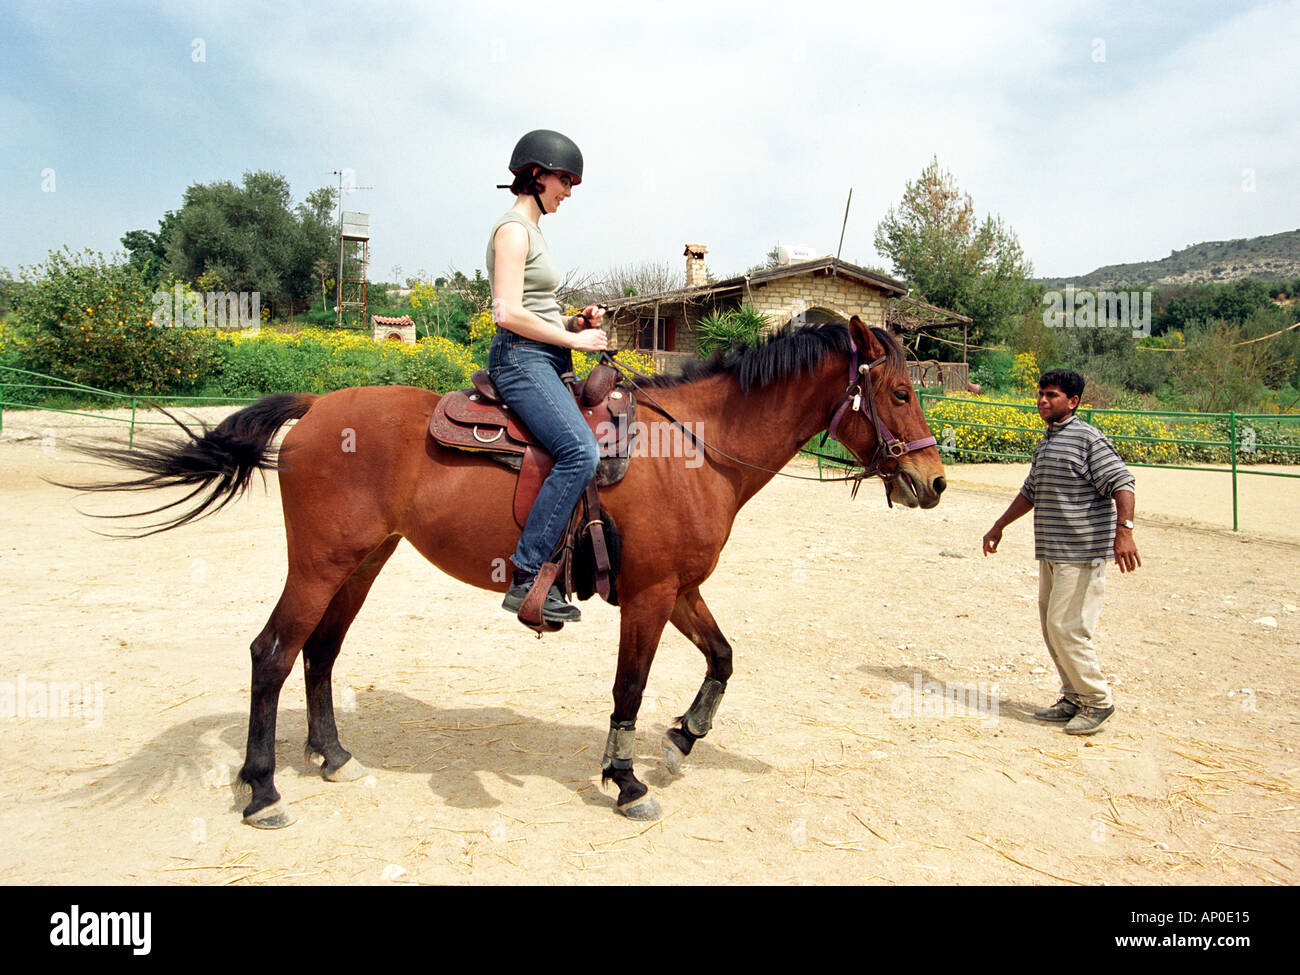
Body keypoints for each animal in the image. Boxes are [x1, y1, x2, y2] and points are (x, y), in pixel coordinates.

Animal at [65, 315, 946, 826]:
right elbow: (629, 687)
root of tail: (318, 406)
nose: (935, 482)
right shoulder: (650, 595)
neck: (695, 447)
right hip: (320, 563)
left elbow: (724, 657)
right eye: (902, 391)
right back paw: (262, 790)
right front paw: (626, 777)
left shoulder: (681, 589)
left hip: (364, 560)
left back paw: (334, 756)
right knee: (272, 654)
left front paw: (682, 737)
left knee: (319, 653)